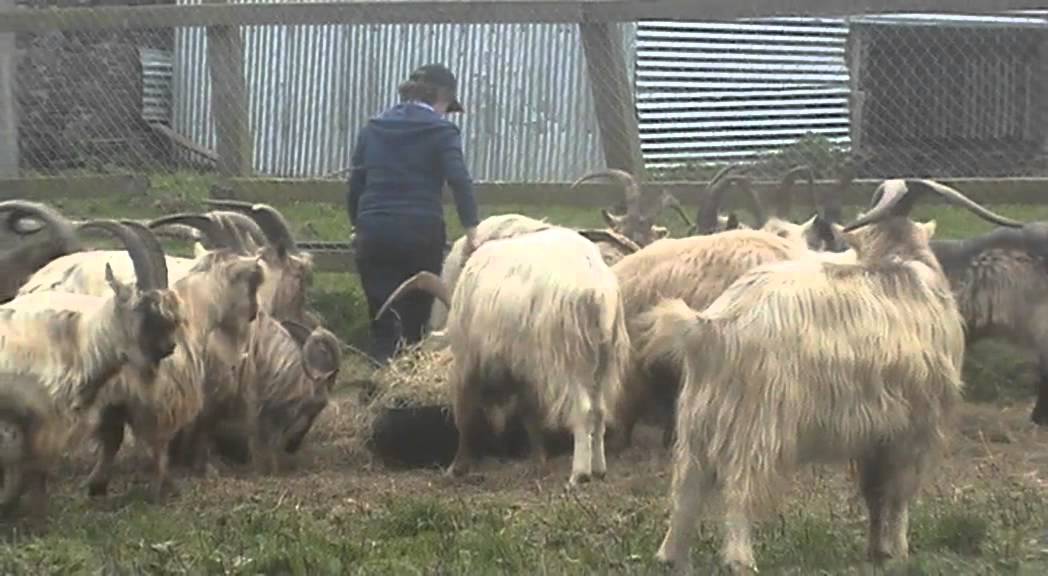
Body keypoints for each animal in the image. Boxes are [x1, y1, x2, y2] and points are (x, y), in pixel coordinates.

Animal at [376, 226, 630, 485]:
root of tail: (596, 293)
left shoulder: (470, 359)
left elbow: (466, 412)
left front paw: (457, 467)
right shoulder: (522, 366)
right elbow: (530, 414)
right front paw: (539, 461)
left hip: (566, 360)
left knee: (583, 410)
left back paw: (579, 474)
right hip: (603, 360)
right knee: (600, 411)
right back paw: (599, 469)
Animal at [641, 179, 1021, 573]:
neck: (903, 266)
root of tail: (712, 326)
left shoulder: (875, 433)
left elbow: (874, 492)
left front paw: (877, 550)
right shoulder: (916, 426)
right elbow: (899, 492)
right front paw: (900, 550)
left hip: (698, 419)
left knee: (687, 487)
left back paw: (671, 556)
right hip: (758, 422)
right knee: (740, 486)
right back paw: (740, 560)